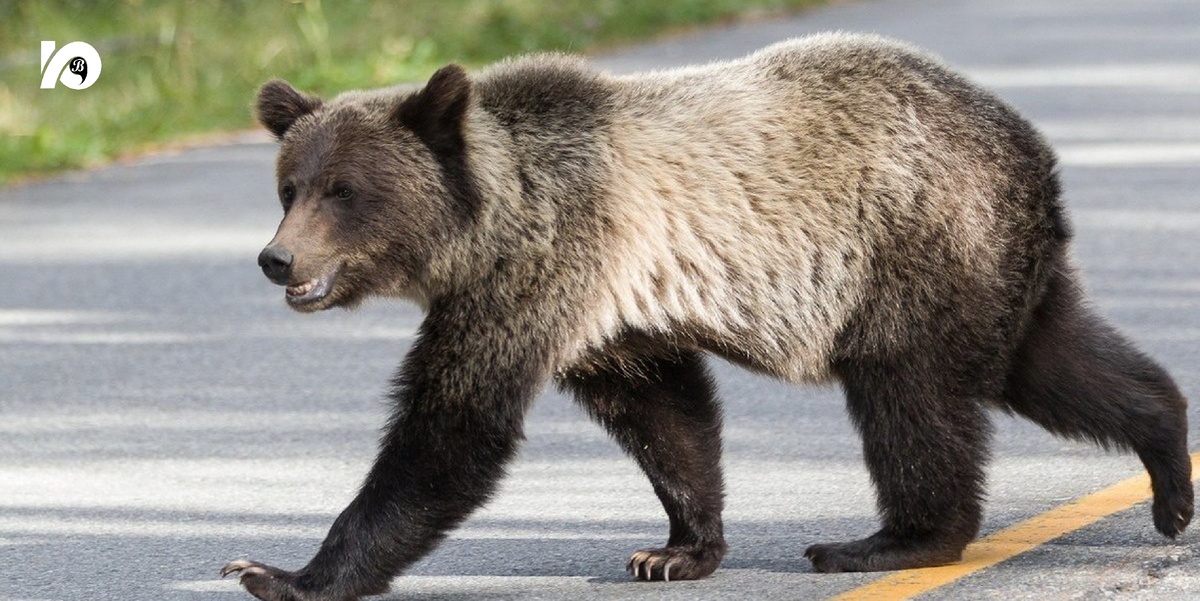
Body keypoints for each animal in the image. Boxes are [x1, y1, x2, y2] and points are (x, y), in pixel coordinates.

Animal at [223, 32, 1190, 599]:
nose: (278, 259)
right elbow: (666, 415)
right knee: (1058, 359)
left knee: (912, 398)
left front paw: (279, 570)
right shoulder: (606, 310)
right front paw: (675, 548)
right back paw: (1172, 473)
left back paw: (888, 540)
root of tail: (1029, 146)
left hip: (912, 243)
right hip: (989, 265)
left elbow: (451, 428)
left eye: (344, 191)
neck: (488, 223)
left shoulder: (544, 265)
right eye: (288, 186)